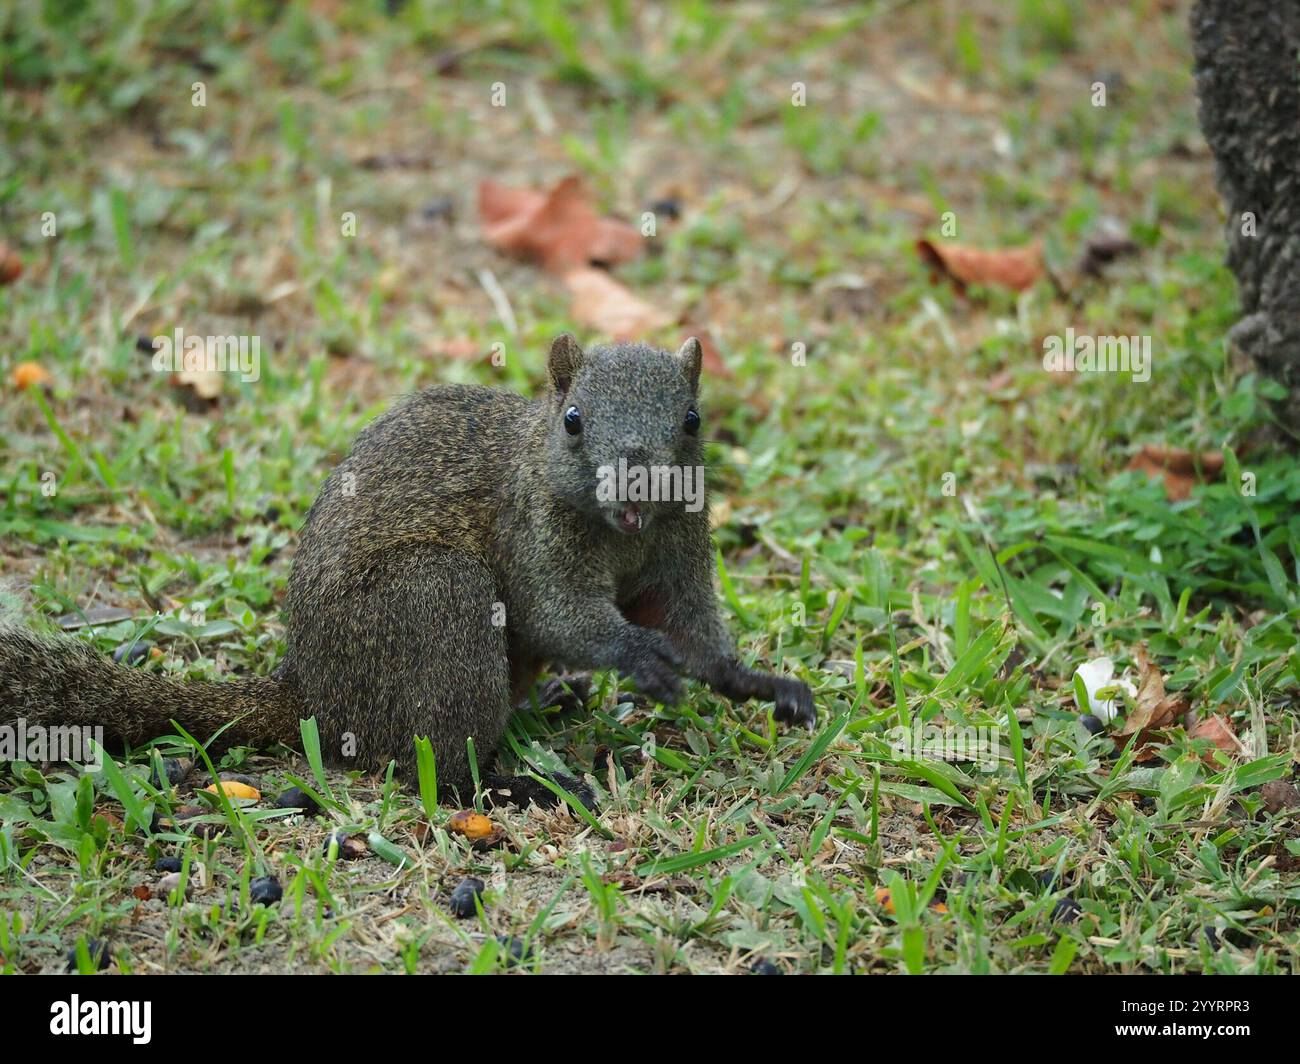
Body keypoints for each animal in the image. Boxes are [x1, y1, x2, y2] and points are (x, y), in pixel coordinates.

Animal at [0, 335, 815, 800]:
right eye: (574, 420)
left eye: (692, 421)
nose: (638, 489)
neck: (624, 536)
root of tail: (315, 699)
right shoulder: (533, 535)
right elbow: (560, 614)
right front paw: (640, 657)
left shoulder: (680, 549)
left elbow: (691, 627)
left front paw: (755, 682)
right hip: (438, 600)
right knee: (434, 764)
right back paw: (509, 785)